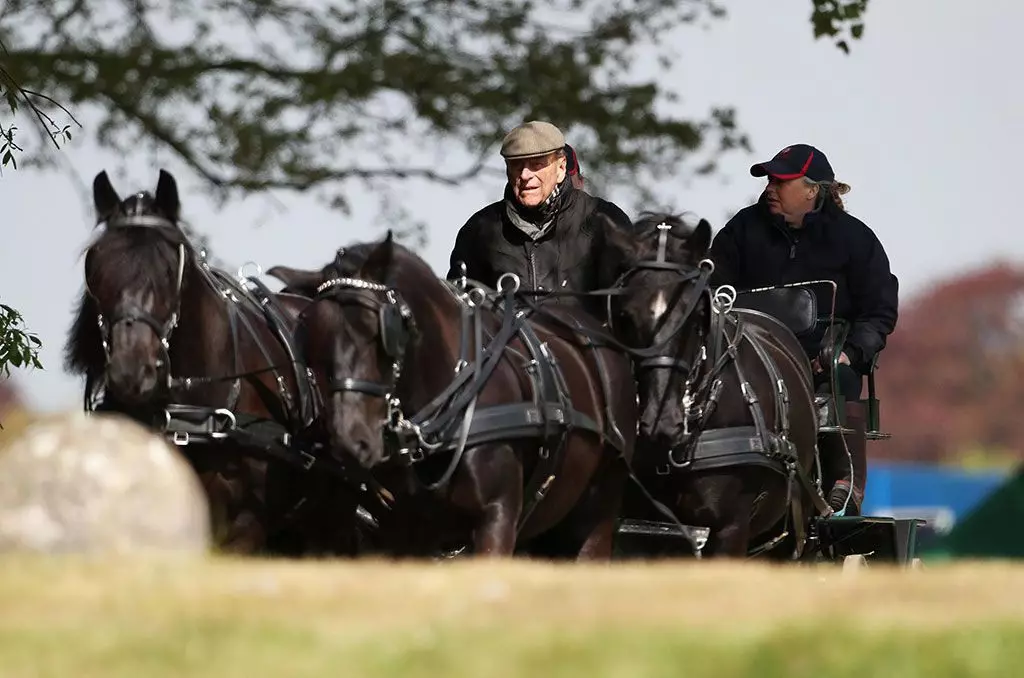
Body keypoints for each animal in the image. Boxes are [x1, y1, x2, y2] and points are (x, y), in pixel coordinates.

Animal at [278, 231, 630, 561]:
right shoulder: (399, 532)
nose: (350, 442)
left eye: (379, 330)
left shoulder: (496, 518)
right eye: (310, 334)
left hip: (596, 514)